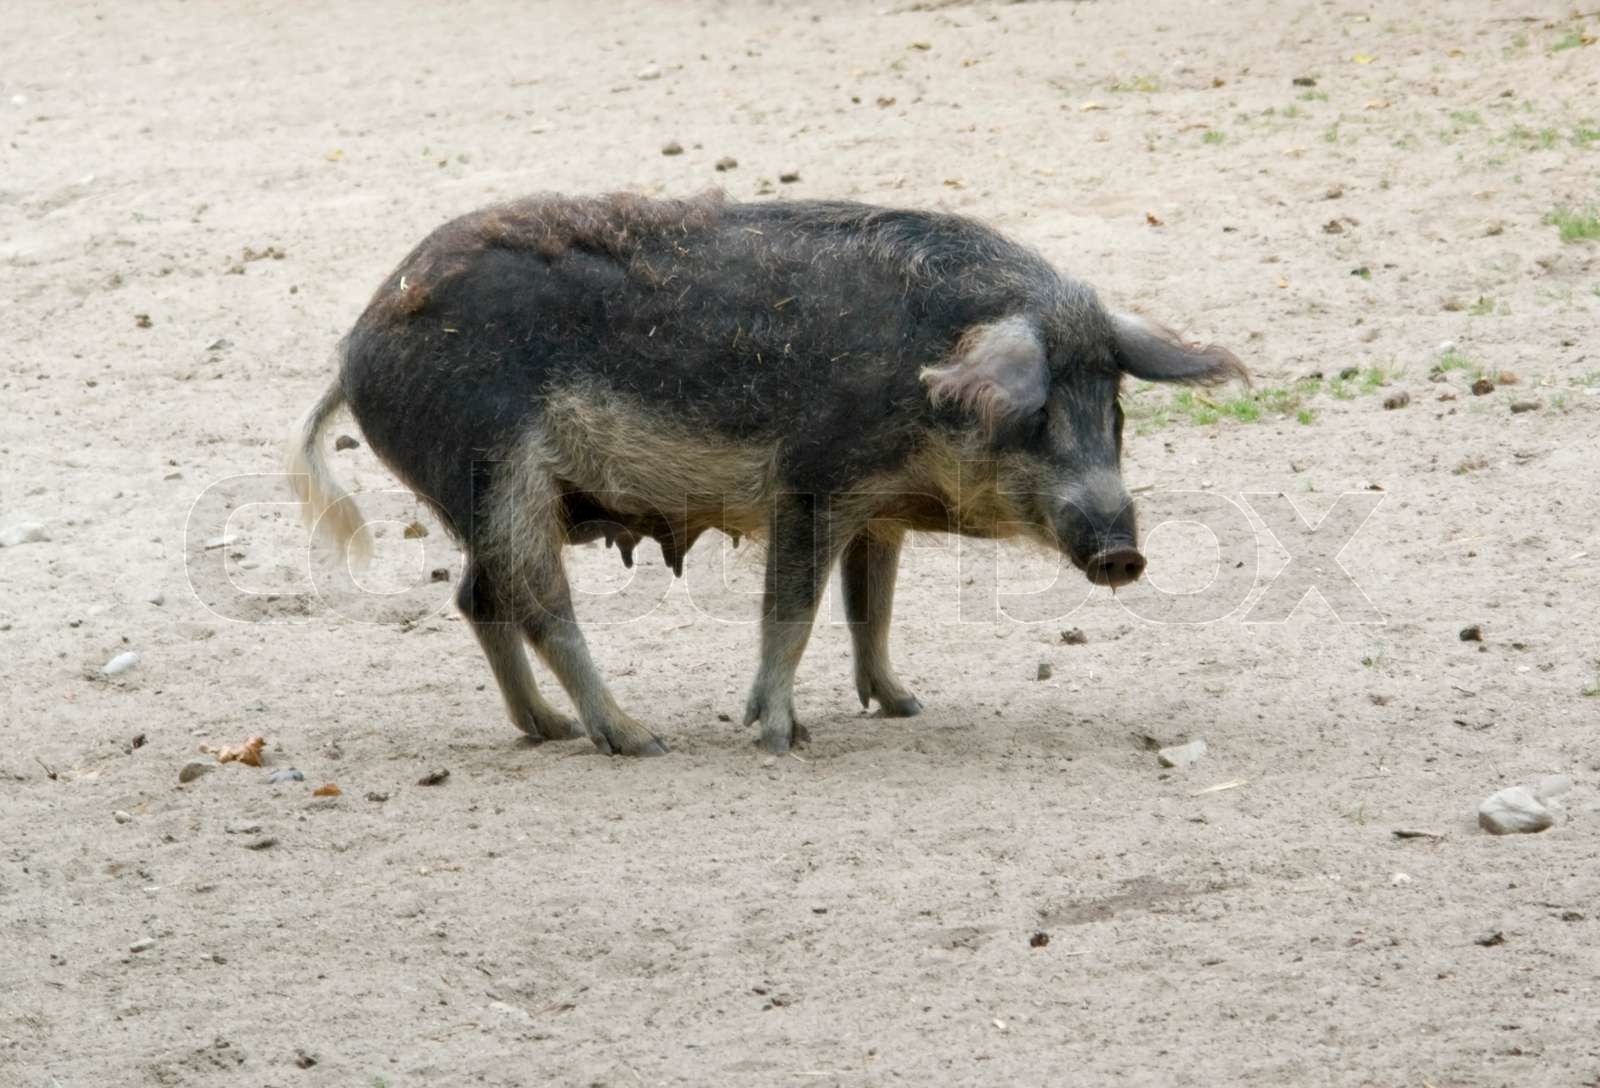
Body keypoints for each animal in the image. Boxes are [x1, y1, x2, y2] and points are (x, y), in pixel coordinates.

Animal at [288, 191, 1245, 755]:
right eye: (1035, 416)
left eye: (1116, 413)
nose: (1123, 553)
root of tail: (354, 344)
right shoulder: (809, 486)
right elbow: (792, 611)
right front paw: (784, 737)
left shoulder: (876, 511)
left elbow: (871, 608)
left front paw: (905, 706)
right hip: (496, 477)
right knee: (542, 608)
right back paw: (636, 739)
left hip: (491, 499)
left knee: (477, 598)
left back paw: (547, 730)